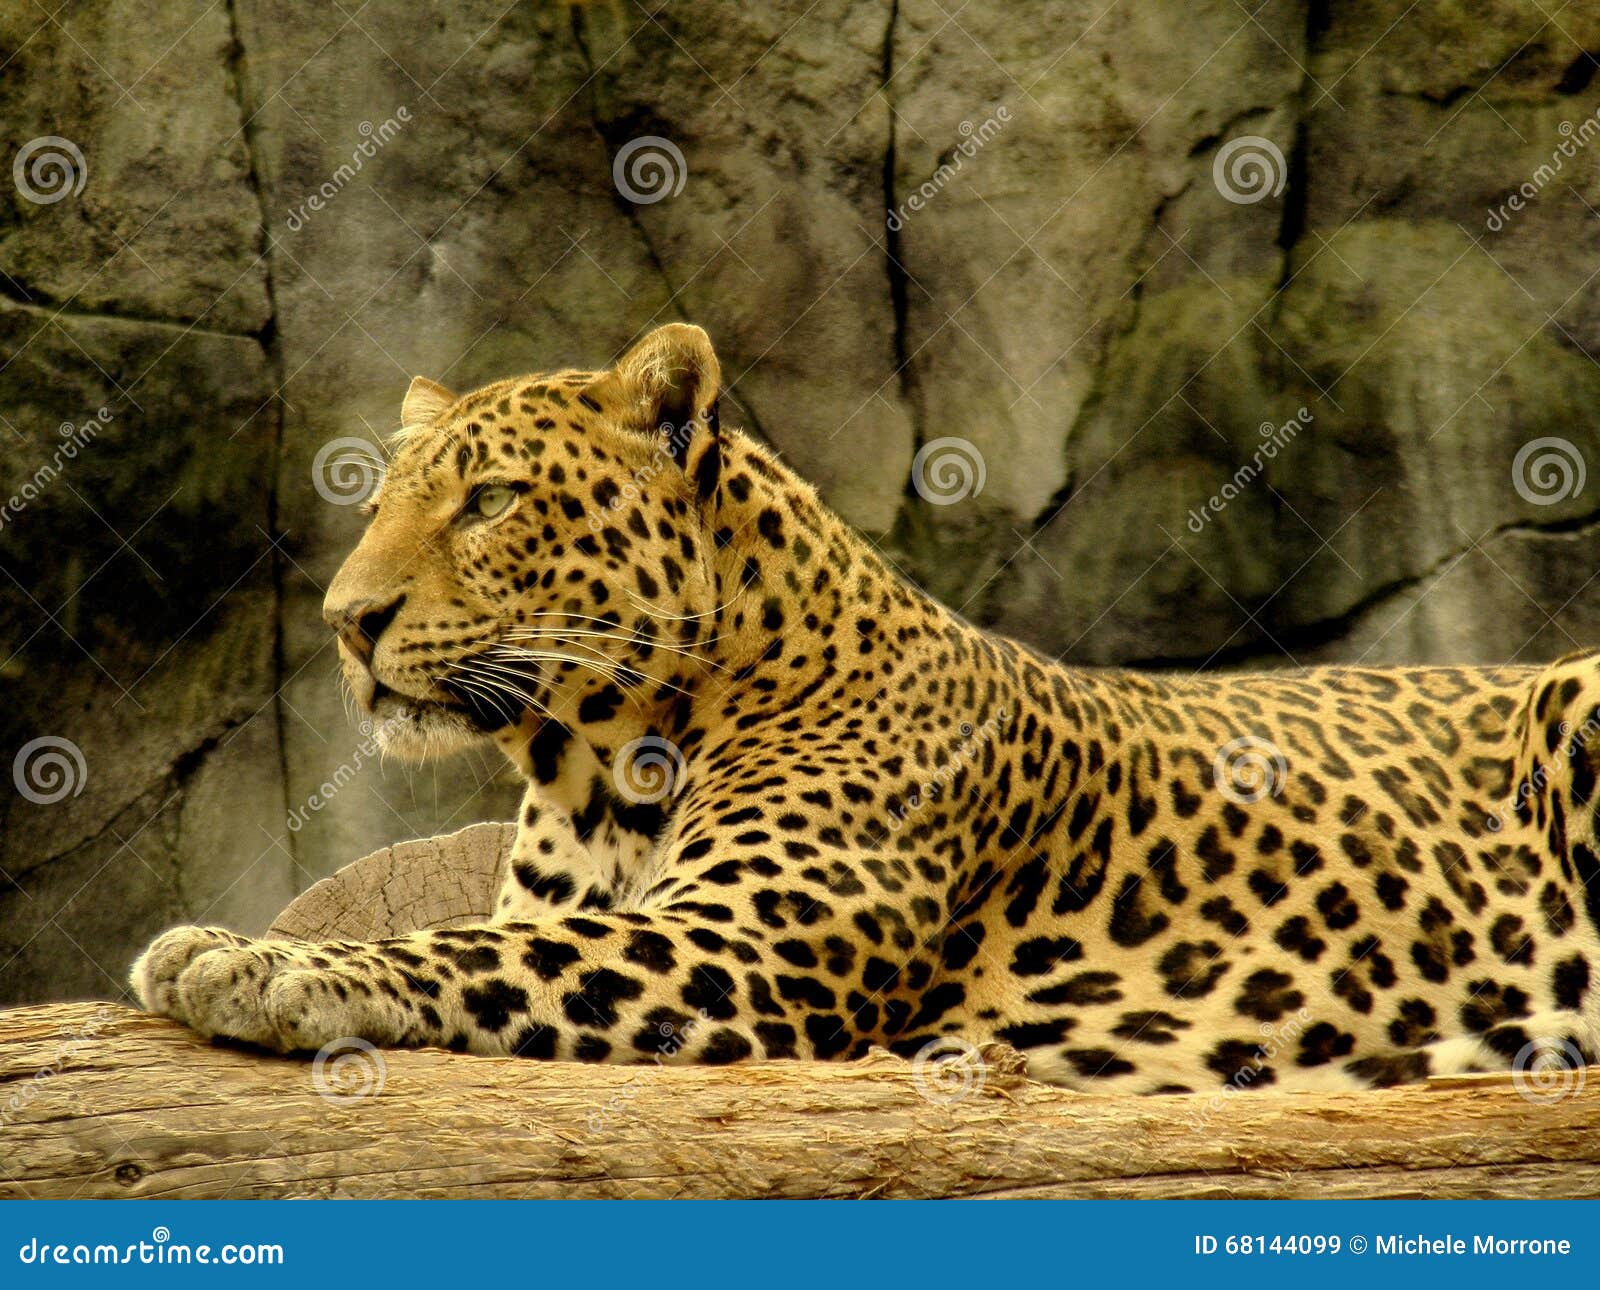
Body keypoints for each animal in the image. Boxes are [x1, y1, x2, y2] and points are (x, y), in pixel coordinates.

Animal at [132, 322, 1600, 1093]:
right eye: (379, 502)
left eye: (490, 501)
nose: (347, 622)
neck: (587, 767)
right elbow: (488, 933)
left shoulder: (744, 945)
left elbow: (470, 952)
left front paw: (245, 959)